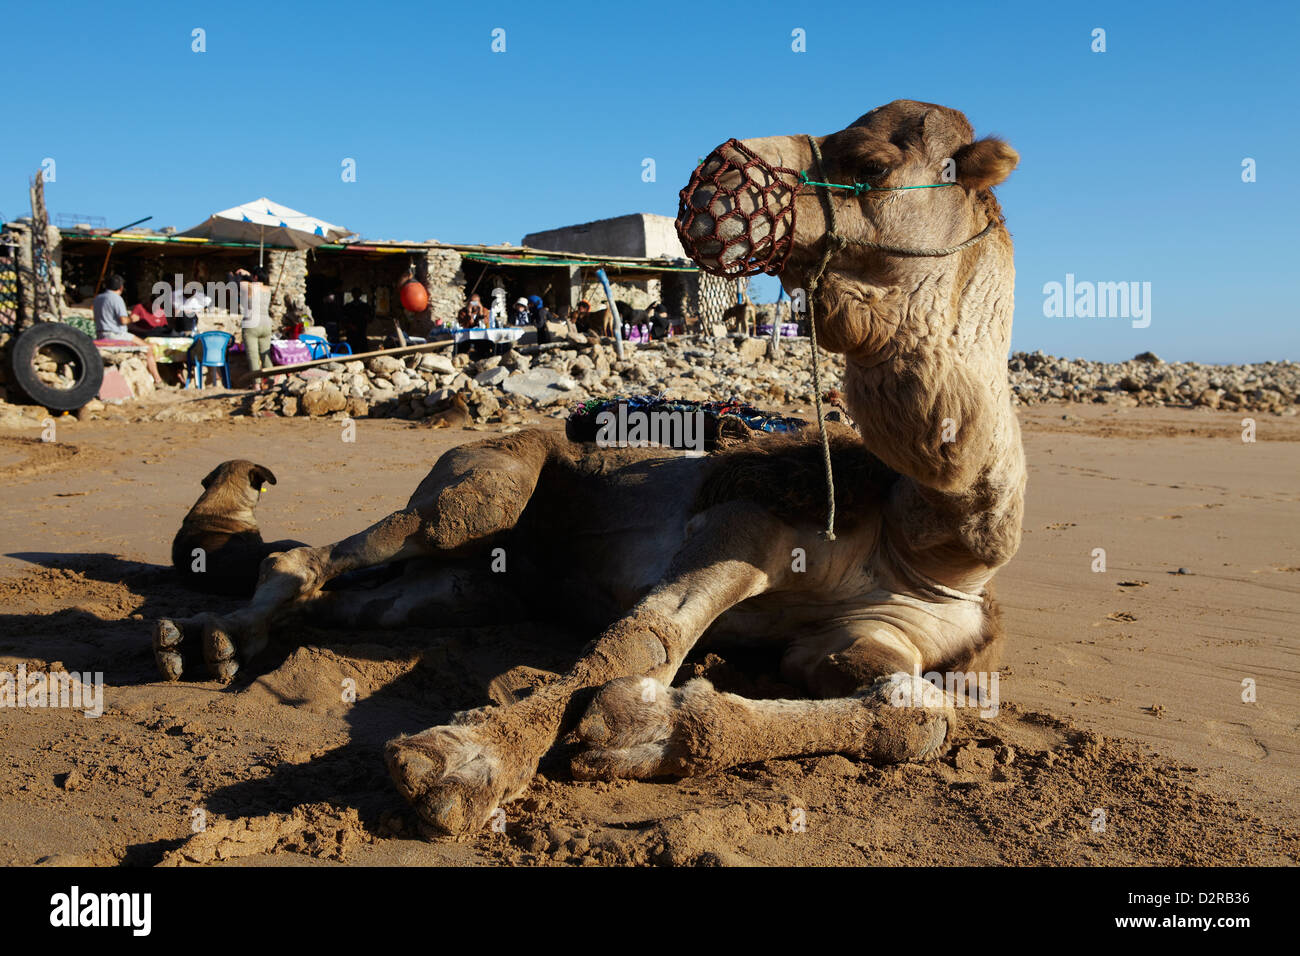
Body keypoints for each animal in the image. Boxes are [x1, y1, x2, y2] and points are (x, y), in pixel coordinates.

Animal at [154, 100, 1024, 839]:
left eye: (872, 162)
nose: (718, 168)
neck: (932, 546)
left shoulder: (880, 635)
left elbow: (920, 715)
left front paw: (646, 728)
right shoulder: (748, 519)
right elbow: (640, 638)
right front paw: (466, 761)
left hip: (480, 585)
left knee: (363, 597)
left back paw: (231, 639)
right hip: (483, 484)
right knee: (327, 552)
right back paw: (206, 641)